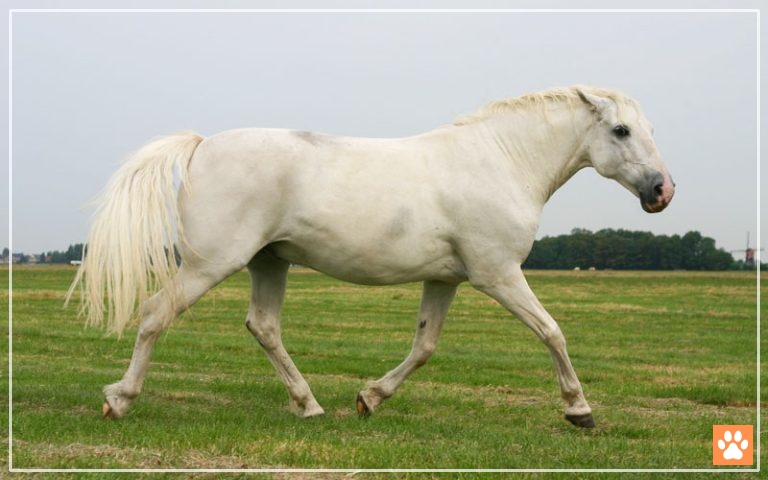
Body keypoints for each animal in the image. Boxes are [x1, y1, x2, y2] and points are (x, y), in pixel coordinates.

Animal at [67, 86, 674, 428]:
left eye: (649, 128)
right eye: (621, 130)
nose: (661, 191)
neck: (499, 161)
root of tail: (202, 144)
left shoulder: (446, 280)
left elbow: (425, 346)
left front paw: (369, 399)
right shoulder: (498, 274)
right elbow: (552, 332)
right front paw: (579, 411)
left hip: (269, 262)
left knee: (263, 326)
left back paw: (310, 406)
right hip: (210, 264)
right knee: (156, 314)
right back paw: (119, 401)